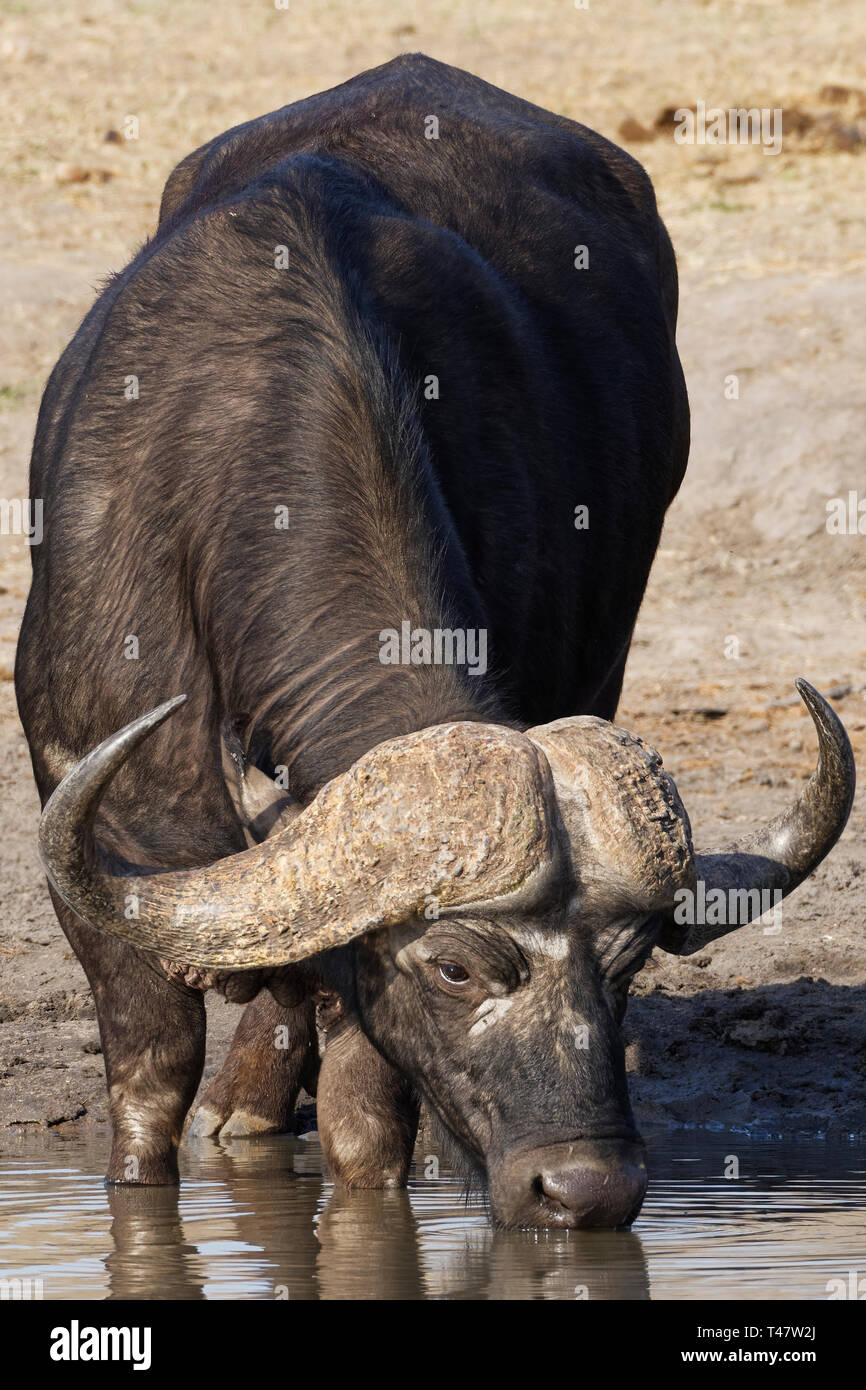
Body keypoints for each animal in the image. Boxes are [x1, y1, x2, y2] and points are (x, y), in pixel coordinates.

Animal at [16, 55, 854, 1229]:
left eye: (629, 965)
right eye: (456, 969)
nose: (588, 1188)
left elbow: (365, 1118)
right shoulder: (96, 825)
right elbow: (148, 1081)